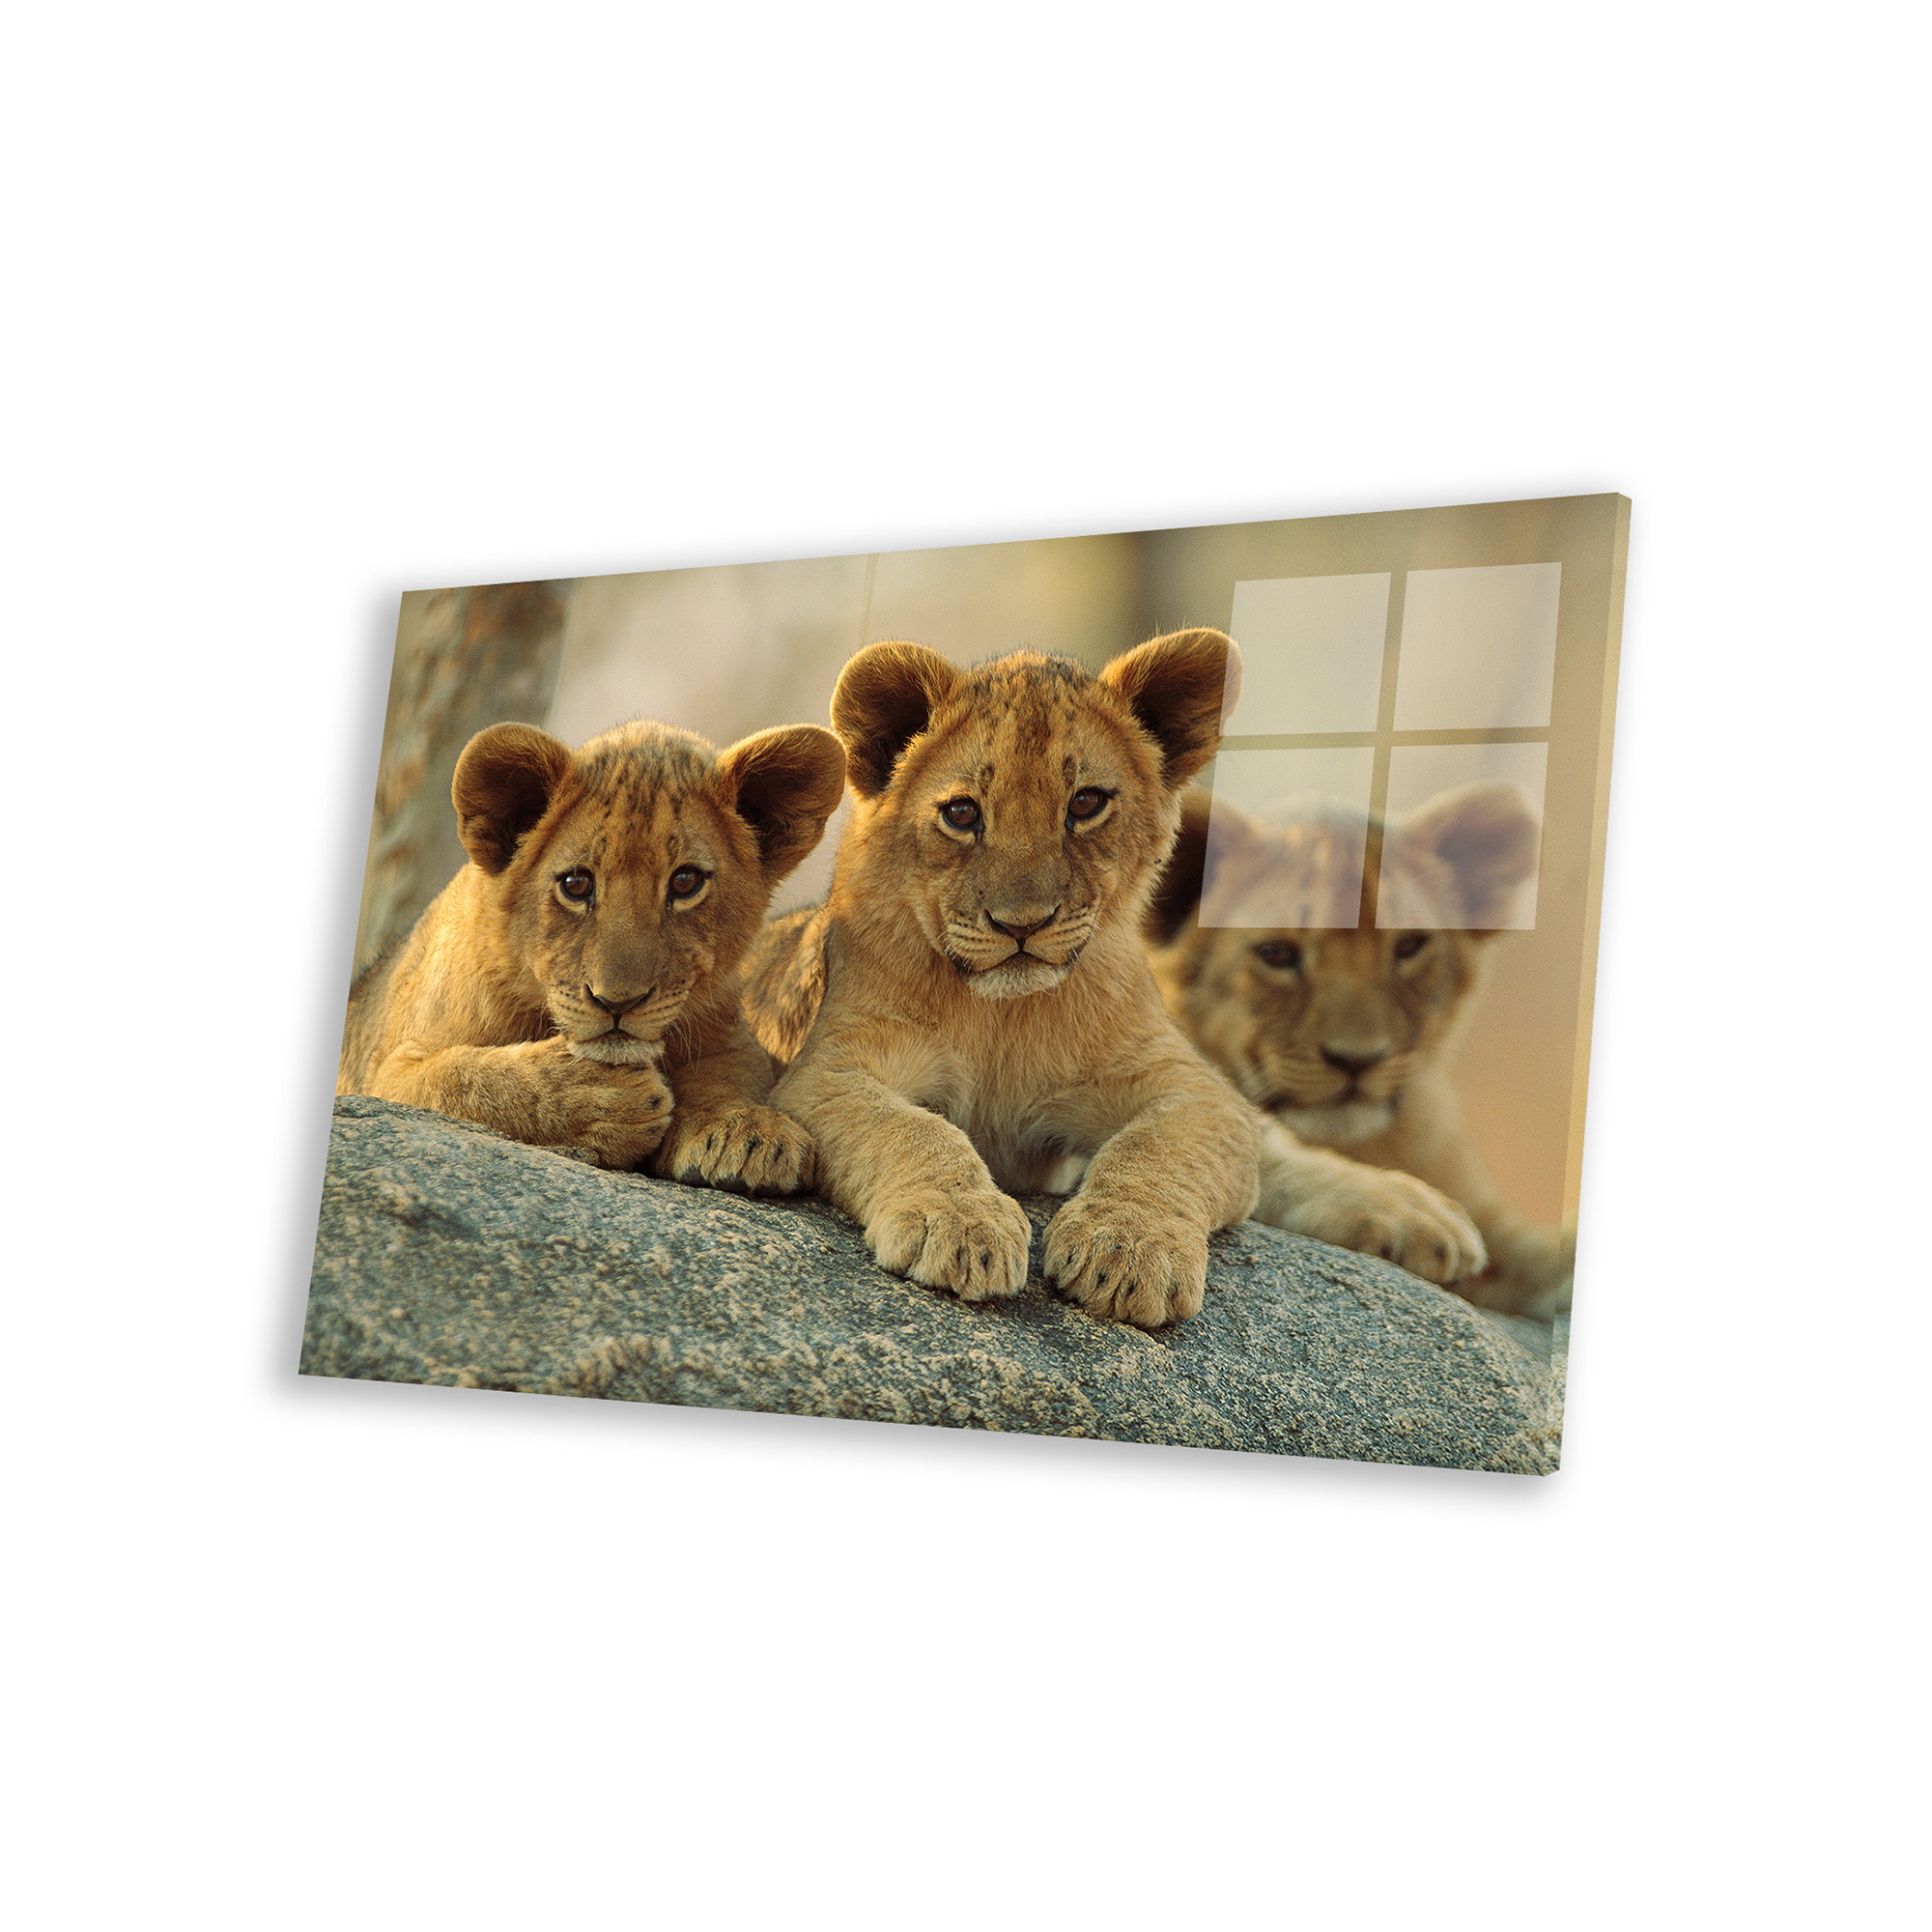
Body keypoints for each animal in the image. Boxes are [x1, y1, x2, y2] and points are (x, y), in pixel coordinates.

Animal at [339, 716, 847, 1190]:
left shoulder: (731, 1036)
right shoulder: (390, 1073)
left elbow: (731, 1074)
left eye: (686, 882)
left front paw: (744, 1128)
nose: (617, 1002)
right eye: (576, 884)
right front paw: (603, 1099)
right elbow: (467, 1080)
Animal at [739, 630, 1486, 1329]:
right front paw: (960, 1223)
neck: (999, 1019)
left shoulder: (1189, 1087)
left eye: (1086, 804)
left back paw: (1424, 1216)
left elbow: (1158, 1150)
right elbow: (911, 1129)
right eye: (961, 813)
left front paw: (1127, 1250)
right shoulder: (823, 1071)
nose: (1022, 924)